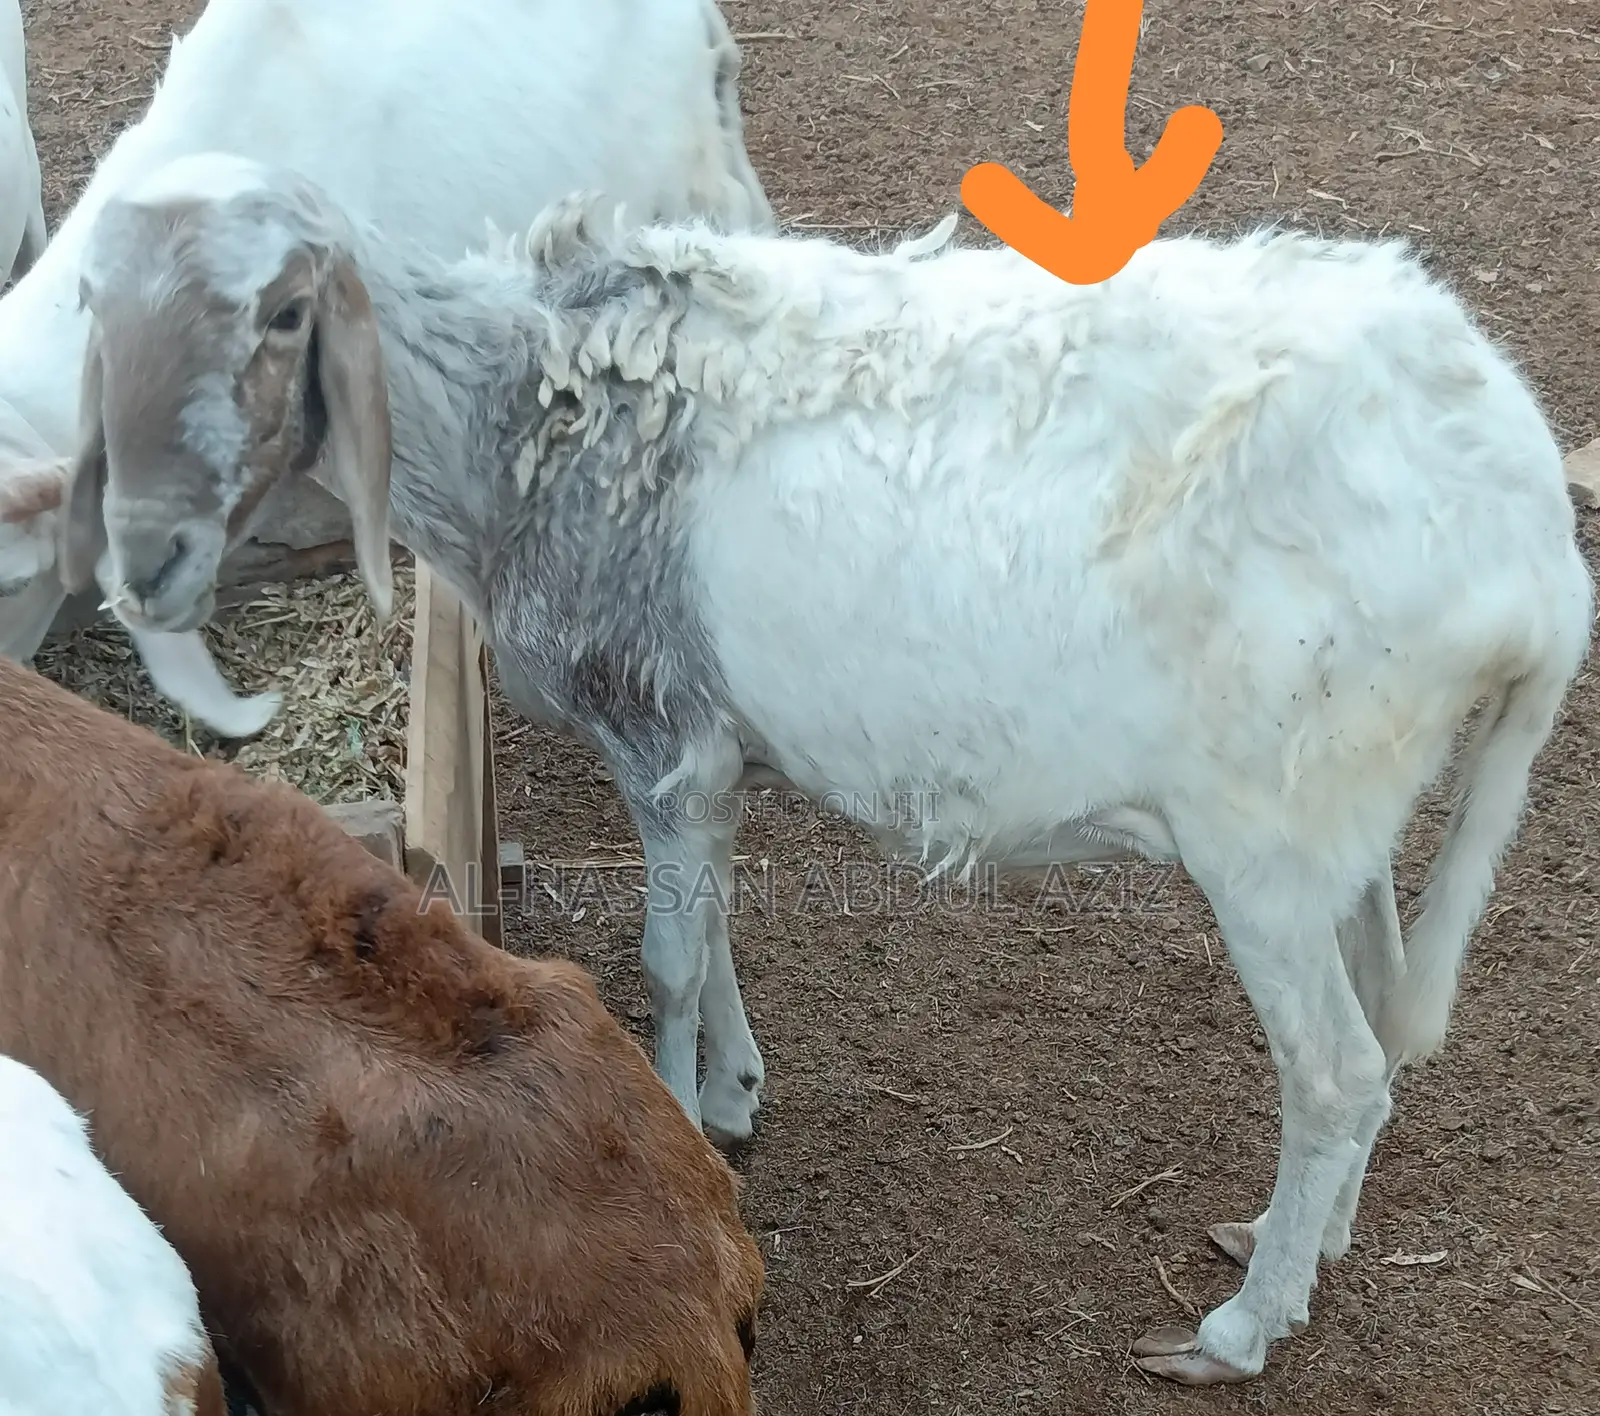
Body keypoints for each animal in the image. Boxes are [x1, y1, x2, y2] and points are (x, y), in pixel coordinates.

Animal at [58, 152, 1597, 1386]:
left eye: (281, 317)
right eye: (95, 318)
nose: (149, 566)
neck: (518, 417)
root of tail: (1530, 538)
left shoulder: (659, 728)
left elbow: (668, 957)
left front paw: (683, 1117)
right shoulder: (711, 745)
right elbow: (718, 924)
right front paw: (735, 1089)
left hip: (1263, 839)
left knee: (1335, 1071)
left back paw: (1240, 1327)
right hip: (1344, 808)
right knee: (1381, 1026)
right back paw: (1304, 1240)